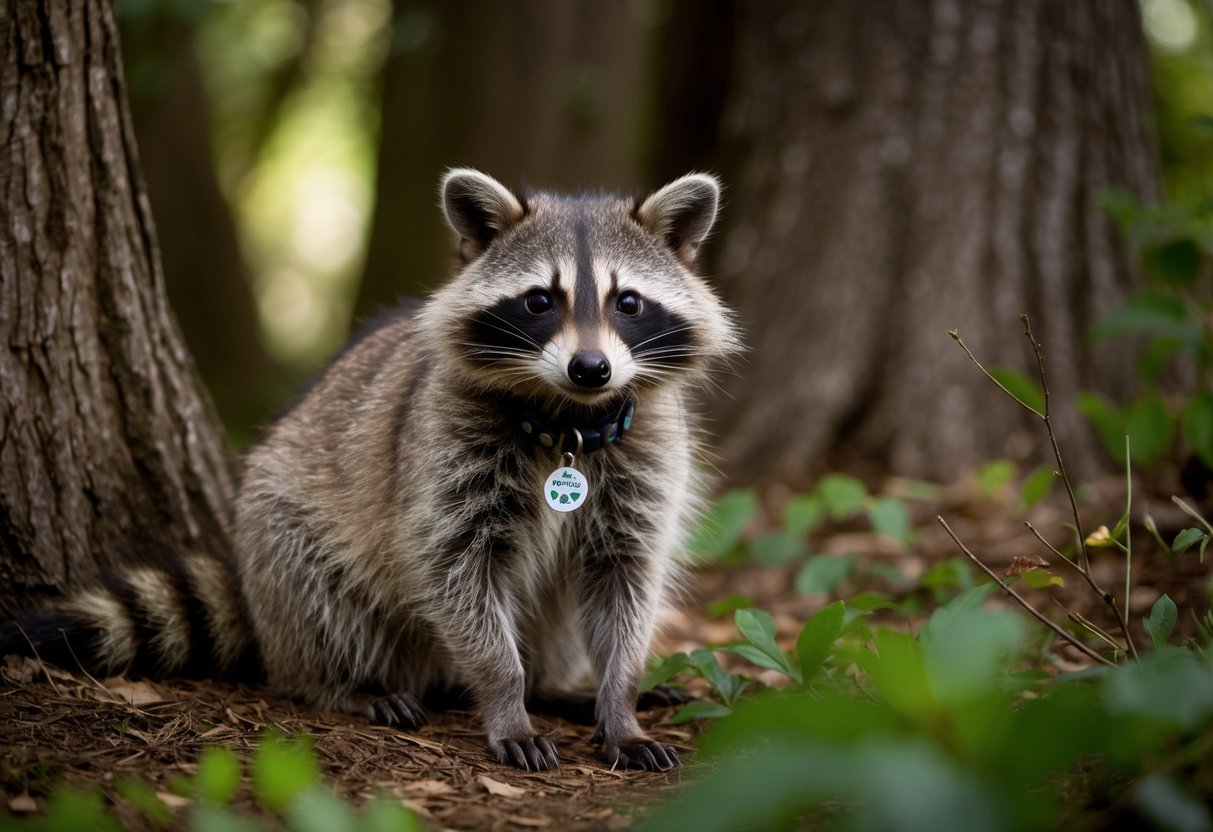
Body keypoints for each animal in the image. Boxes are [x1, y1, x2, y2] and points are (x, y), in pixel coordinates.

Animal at [4, 170, 740, 772]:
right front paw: (506, 697)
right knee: (318, 596)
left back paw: (556, 684)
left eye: (628, 302)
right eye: (539, 301)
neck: (567, 425)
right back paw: (342, 682)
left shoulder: (643, 462)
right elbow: (458, 580)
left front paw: (618, 701)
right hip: (284, 528)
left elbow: (626, 585)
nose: (591, 369)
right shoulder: (440, 461)